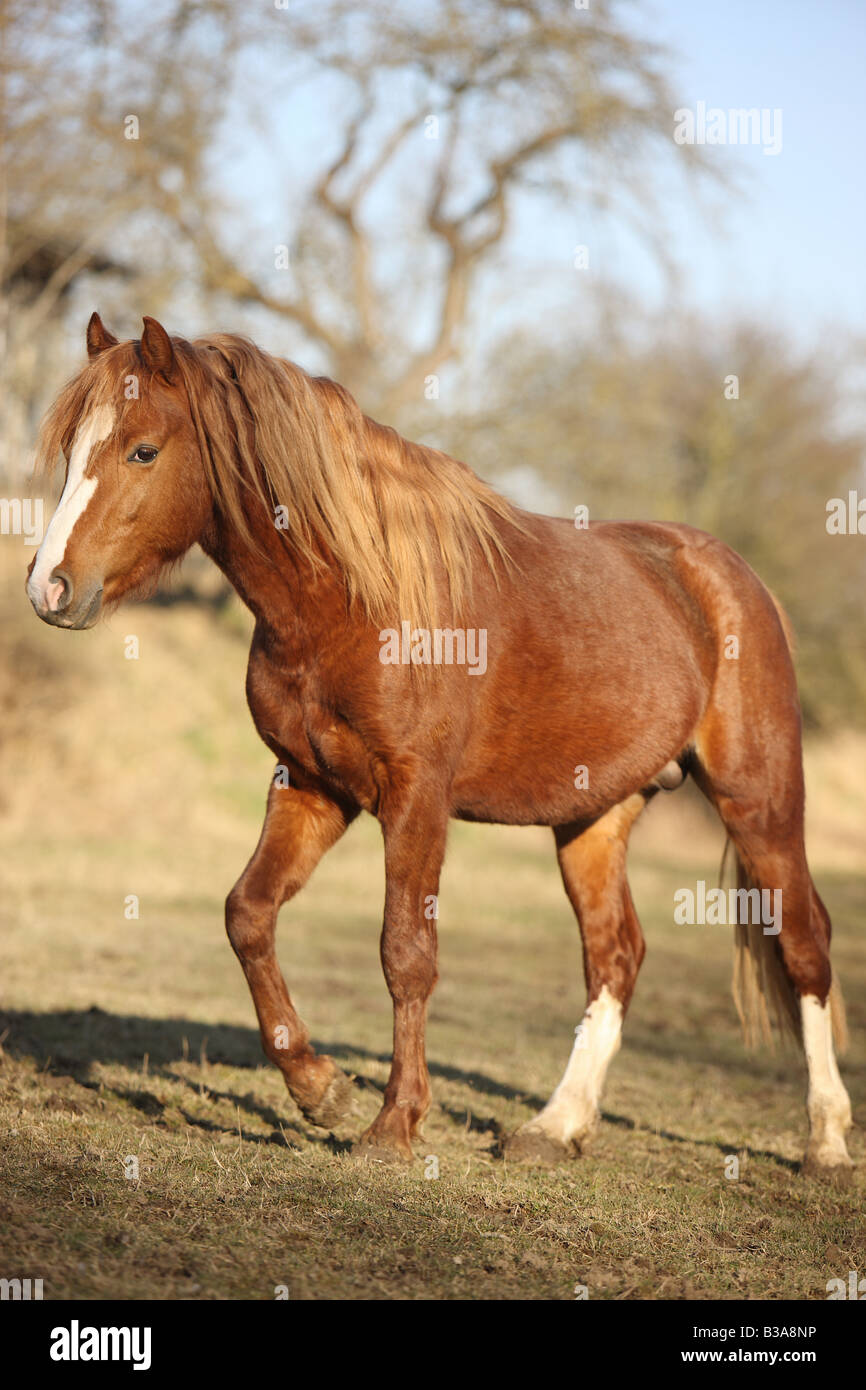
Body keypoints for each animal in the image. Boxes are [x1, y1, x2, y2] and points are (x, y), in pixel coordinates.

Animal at [26, 312, 853, 1180]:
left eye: (142, 450)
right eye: (72, 449)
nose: (48, 587)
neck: (350, 599)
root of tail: (728, 577)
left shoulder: (415, 796)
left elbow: (405, 953)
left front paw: (393, 1124)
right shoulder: (312, 787)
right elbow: (248, 914)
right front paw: (321, 1090)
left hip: (758, 801)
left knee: (804, 944)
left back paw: (825, 1140)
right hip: (594, 817)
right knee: (616, 954)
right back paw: (554, 1126)